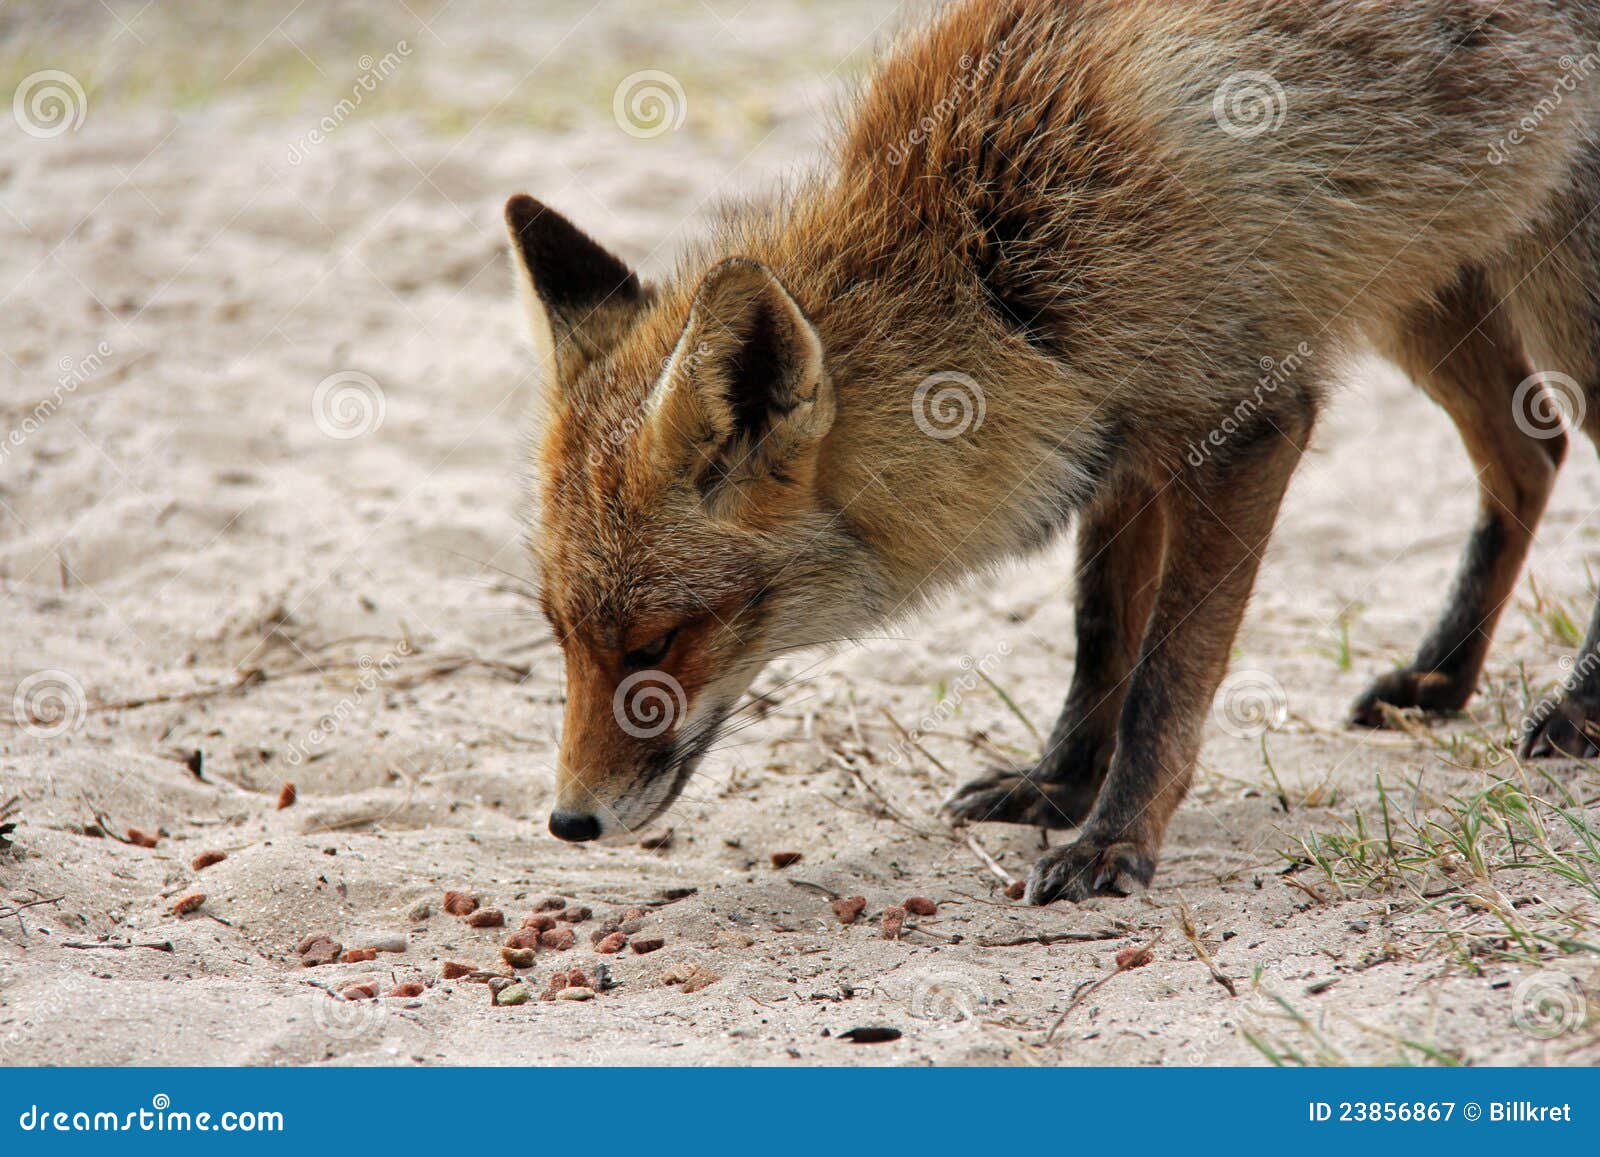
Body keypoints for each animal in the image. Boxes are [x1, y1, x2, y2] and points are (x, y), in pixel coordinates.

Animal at [504, 0, 1600, 904]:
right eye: (561, 635)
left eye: (657, 642)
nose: (568, 820)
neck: (996, 264)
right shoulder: (1114, 433)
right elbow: (1099, 634)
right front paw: (1057, 784)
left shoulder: (1244, 423)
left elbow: (1166, 675)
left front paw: (1115, 839)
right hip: (1427, 279)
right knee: (1530, 449)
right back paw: (1440, 678)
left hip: (1547, 285)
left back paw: (1580, 708)